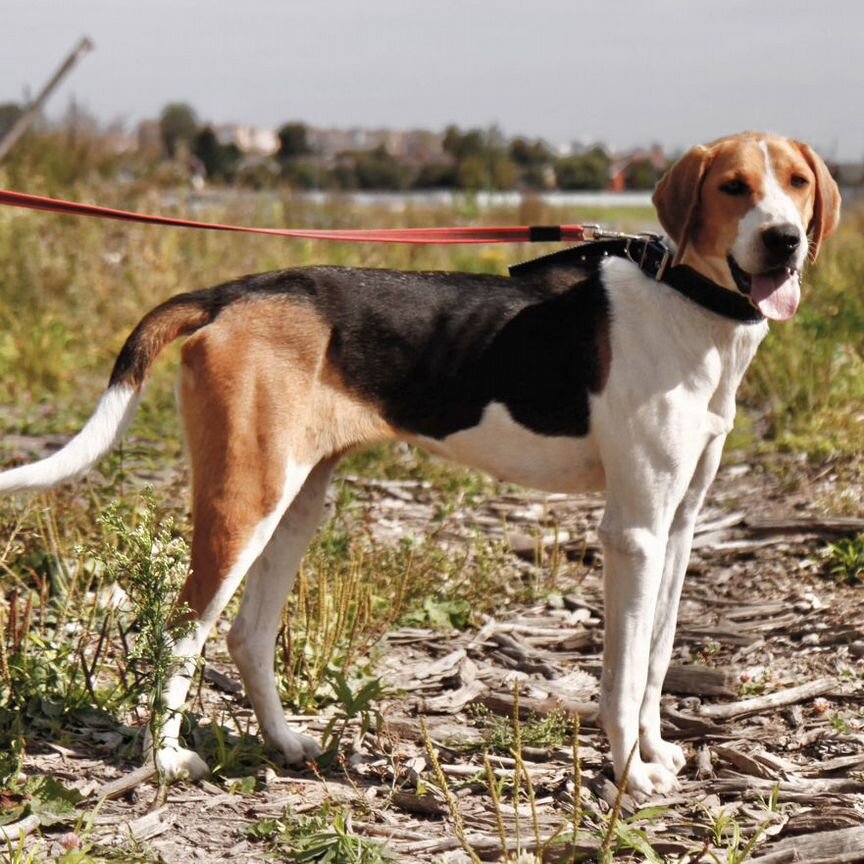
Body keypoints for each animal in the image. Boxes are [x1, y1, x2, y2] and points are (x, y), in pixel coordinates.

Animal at [0, 132, 836, 800]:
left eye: (796, 182)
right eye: (733, 187)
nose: (783, 240)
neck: (691, 305)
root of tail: (232, 293)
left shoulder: (680, 526)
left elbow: (657, 661)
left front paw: (657, 752)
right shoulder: (634, 532)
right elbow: (624, 672)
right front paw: (631, 777)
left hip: (299, 500)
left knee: (246, 636)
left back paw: (285, 744)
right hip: (246, 501)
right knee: (179, 633)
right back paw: (168, 762)